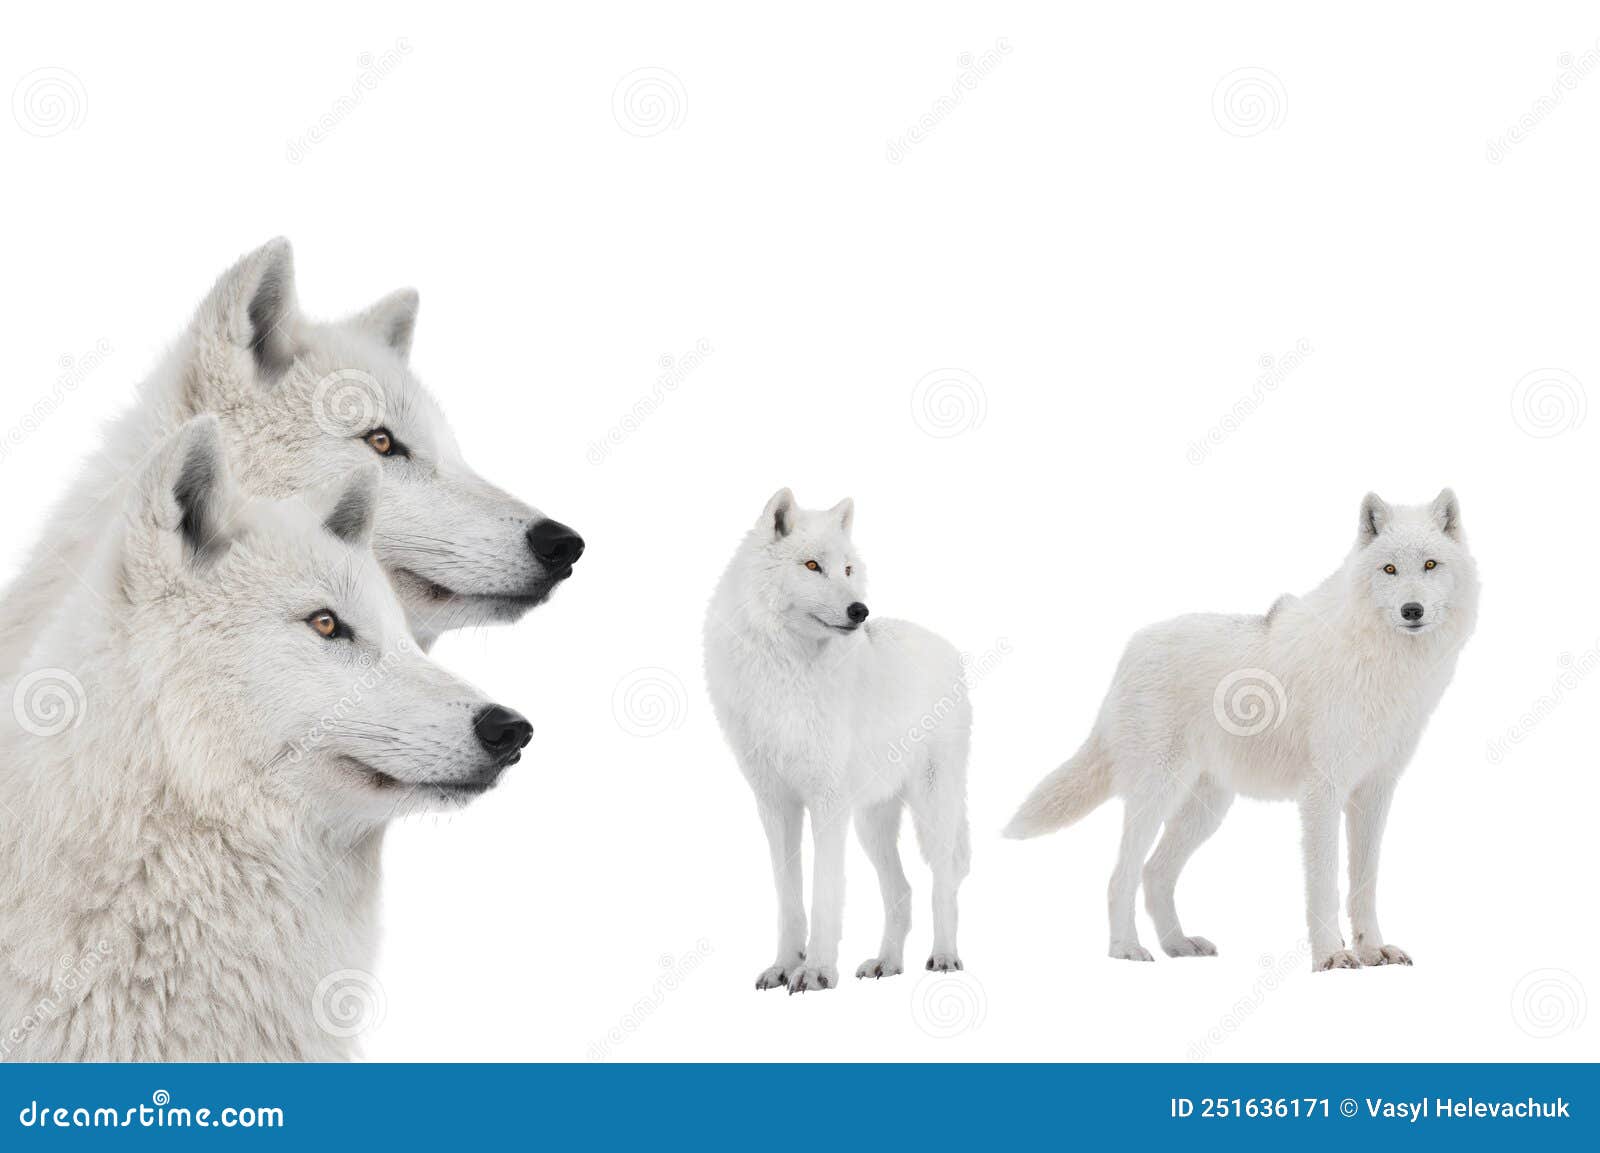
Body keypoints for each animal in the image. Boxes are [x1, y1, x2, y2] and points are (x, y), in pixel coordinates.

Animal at [704, 490, 972, 992]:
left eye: (847, 569)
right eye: (812, 566)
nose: (860, 611)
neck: (786, 673)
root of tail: (945, 647)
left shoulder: (828, 802)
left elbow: (825, 894)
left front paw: (817, 971)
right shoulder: (775, 804)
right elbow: (789, 898)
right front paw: (784, 965)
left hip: (932, 809)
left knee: (943, 883)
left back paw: (945, 957)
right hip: (871, 821)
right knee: (902, 890)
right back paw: (886, 963)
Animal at [1005, 491, 1478, 971]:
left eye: (1431, 565)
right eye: (1389, 569)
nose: (1412, 611)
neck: (1383, 660)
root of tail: (1131, 650)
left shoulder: (1375, 789)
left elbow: (1365, 882)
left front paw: (1372, 950)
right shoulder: (1322, 792)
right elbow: (1325, 884)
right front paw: (1330, 955)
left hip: (1207, 809)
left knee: (1154, 872)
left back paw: (1179, 945)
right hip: (1157, 794)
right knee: (1121, 875)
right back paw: (1126, 949)